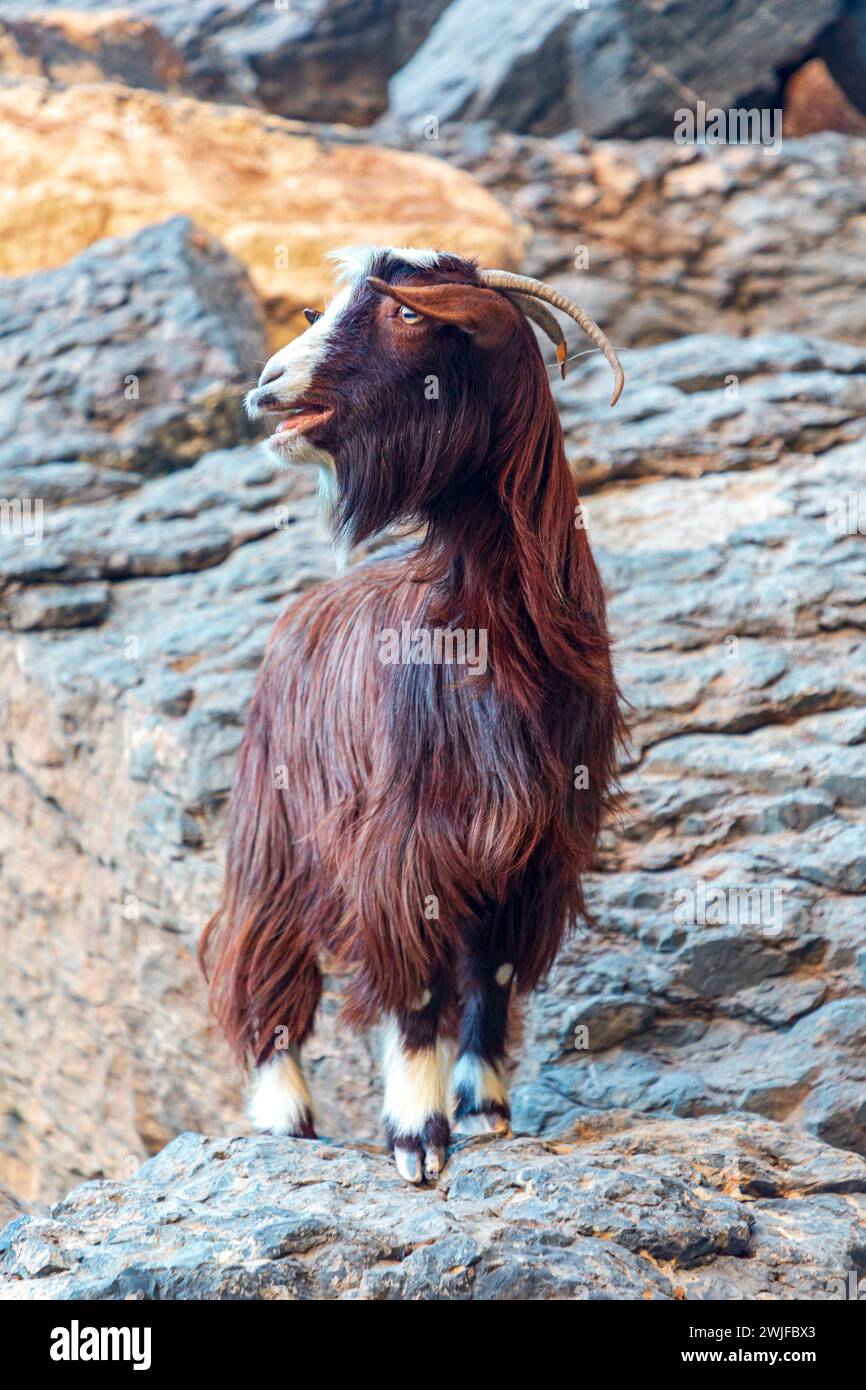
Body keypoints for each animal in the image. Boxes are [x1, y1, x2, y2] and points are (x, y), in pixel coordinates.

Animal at [199, 247, 626, 1183]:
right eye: (321, 307)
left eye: (405, 314)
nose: (268, 385)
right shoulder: (405, 840)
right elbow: (417, 985)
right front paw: (416, 1138)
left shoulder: (533, 848)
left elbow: (489, 976)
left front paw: (487, 1112)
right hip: (272, 831)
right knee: (262, 956)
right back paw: (284, 1117)